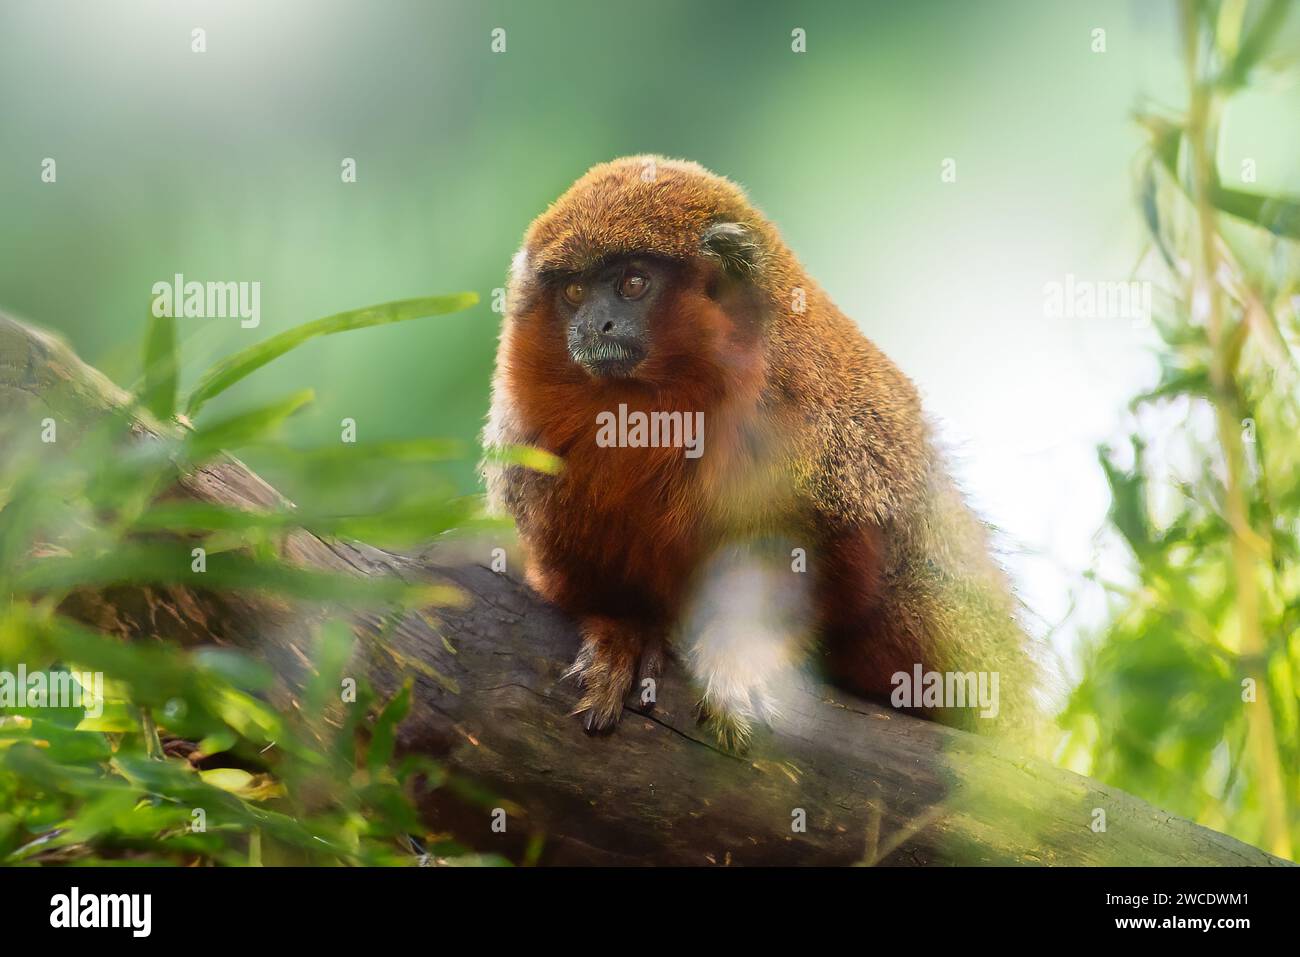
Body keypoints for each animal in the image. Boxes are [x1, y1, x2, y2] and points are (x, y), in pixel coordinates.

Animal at [483, 156, 1039, 749]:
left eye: (633, 283)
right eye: (574, 293)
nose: (594, 326)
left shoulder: (814, 418)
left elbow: (831, 560)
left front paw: (740, 654)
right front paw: (622, 630)